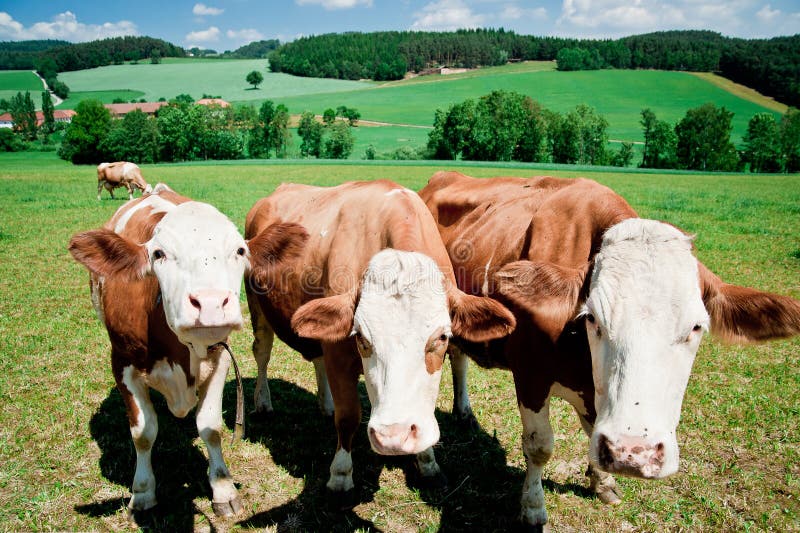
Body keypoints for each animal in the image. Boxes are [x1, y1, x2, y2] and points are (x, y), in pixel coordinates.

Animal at [69, 183, 308, 516]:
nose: (210, 303)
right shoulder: (122, 363)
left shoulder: (219, 359)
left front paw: (223, 488)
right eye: (159, 254)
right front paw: (142, 491)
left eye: (240, 251)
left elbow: (210, 427)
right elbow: (143, 432)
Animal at [244, 180, 516, 498]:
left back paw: (325, 404)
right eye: (361, 337)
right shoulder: (338, 353)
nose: (392, 435)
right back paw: (263, 402)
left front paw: (427, 463)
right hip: (256, 305)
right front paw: (340, 474)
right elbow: (348, 416)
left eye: (441, 337)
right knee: (262, 352)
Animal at [419, 171, 800, 530]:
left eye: (696, 327)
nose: (635, 453)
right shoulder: (530, 375)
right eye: (593, 318)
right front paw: (533, 507)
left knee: (459, 358)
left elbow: (592, 431)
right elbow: (539, 446)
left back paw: (464, 411)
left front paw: (602, 481)